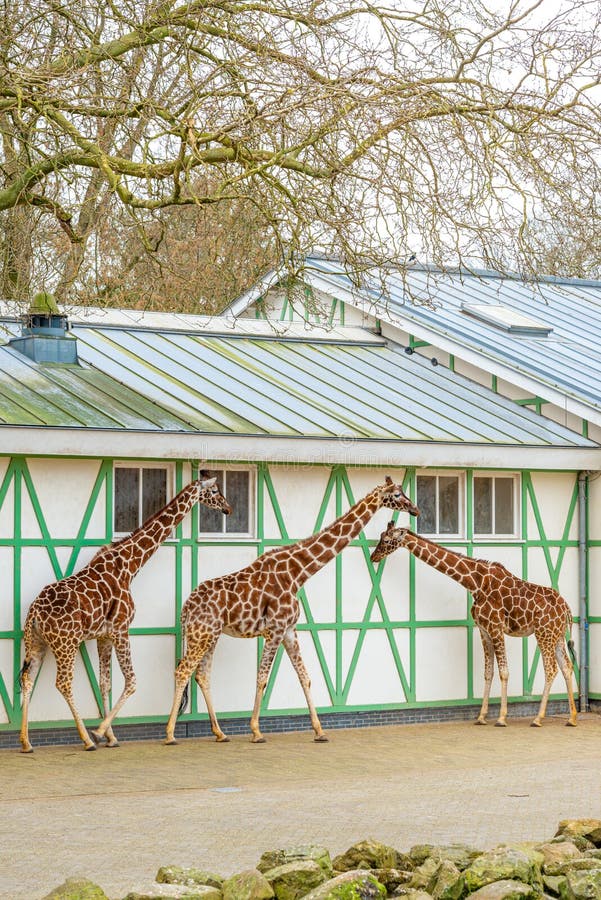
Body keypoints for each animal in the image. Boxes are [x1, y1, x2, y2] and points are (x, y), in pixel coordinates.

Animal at [19, 474, 231, 753]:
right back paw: (86, 740)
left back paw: (26, 742)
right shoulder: (121, 629)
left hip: (36, 643)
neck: (130, 566)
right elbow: (131, 682)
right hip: (66, 644)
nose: (228, 508)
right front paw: (99, 732)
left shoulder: (103, 636)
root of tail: (34, 613)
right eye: (215, 490)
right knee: (63, 683)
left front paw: (110, 736)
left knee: (27, 679)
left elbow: (105, 683)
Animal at [165, 476, 420, 745]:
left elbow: (305, 677)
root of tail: (186, 607)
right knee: (183, 670)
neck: (298, 573)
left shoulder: (289, 630)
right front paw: (256, 731)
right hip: (202, 635)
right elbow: (262, 678)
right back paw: (170, 734)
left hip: (210, 635)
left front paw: (319, 731)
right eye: (397, 494)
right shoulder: (275, 629)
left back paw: (220, 733)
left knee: (202, 675)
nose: (415, 509)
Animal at [371, 524, 578, 728]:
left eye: (387, 540)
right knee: (567, 667)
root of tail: (567, 609)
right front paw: (481, 716)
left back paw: (538, 718)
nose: (373, 557)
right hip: (557, 635)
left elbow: (504, 672)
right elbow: (488, 672)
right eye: (380, 536)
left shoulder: (495, 627)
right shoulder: (484, 630)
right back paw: (572, 718)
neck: (475, 583)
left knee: (551, 669)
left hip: (544, 632)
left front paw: (501, 718)